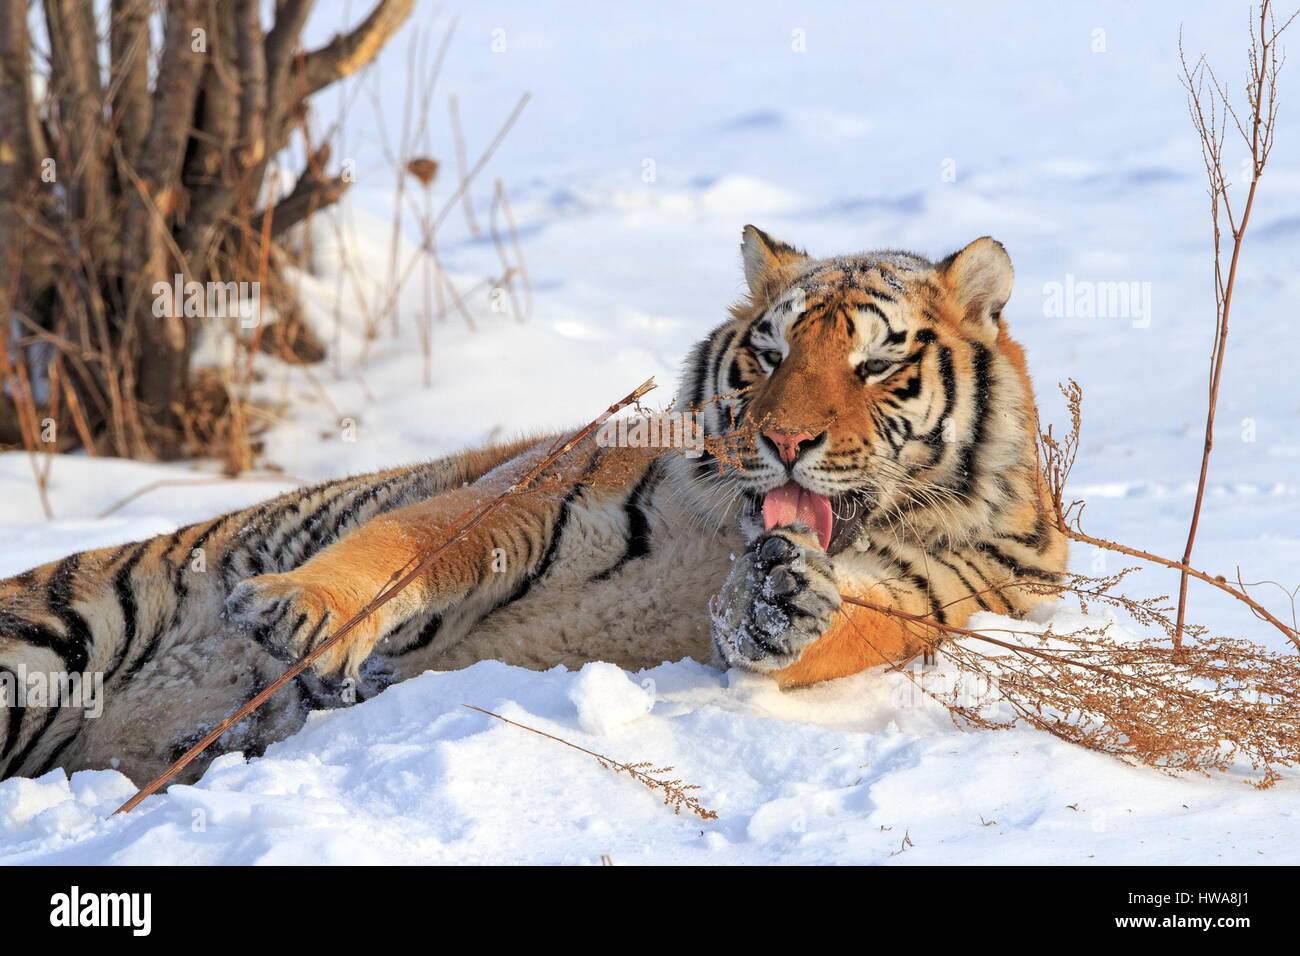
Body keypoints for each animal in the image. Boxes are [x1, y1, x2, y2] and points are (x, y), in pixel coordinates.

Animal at [0, 227, 1067, 785]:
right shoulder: (540, 493)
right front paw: (308, 612)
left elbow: (852, 623)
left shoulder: (945, 593)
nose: (783, 442)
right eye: (767, 355)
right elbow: (410, 538)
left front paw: (779, 606)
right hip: (46, 643)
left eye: (876, 365)